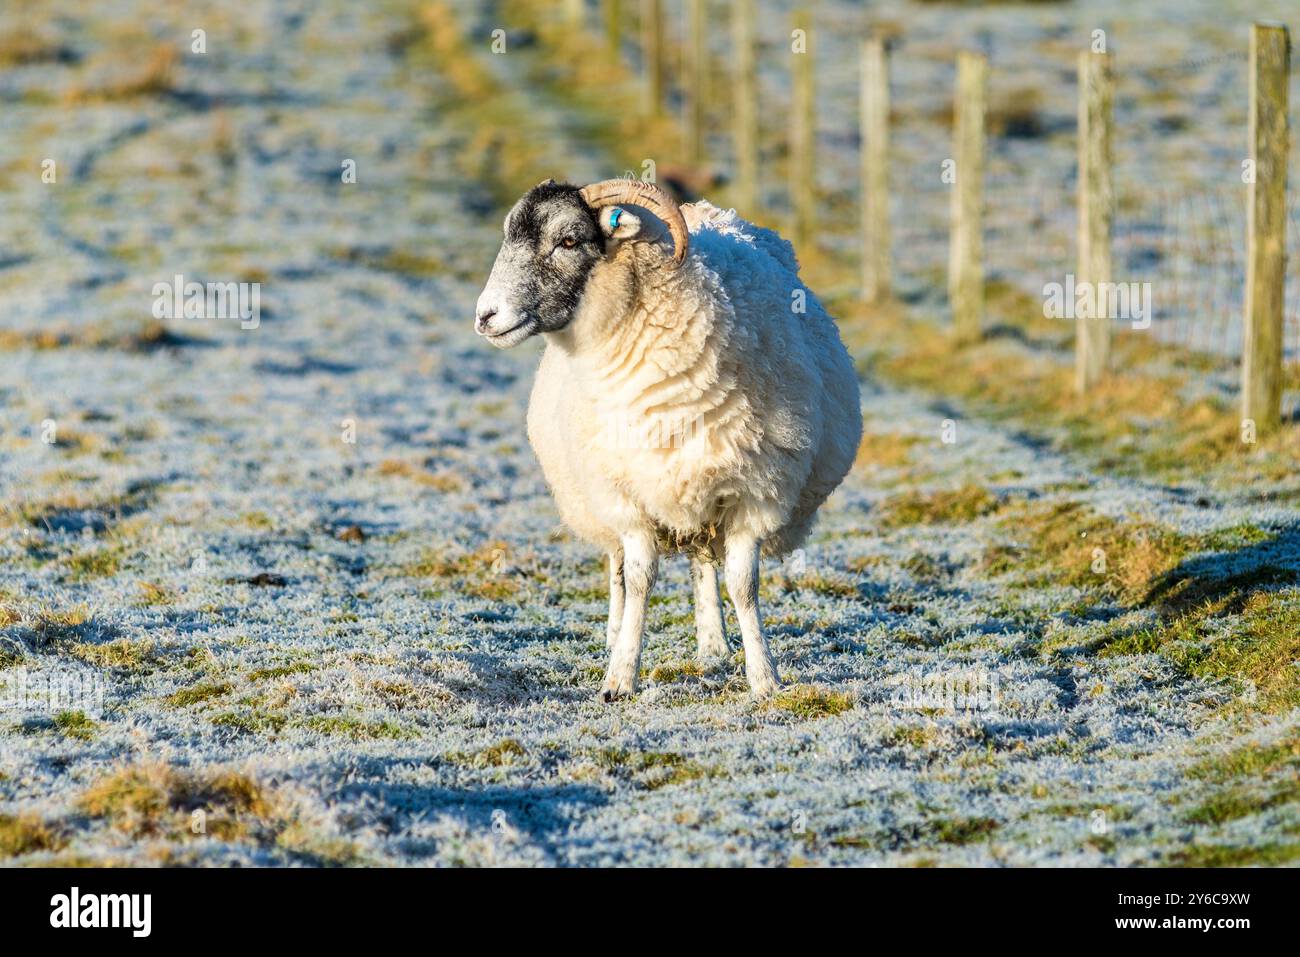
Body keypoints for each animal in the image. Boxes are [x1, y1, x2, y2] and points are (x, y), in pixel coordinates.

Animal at [474, 178, 862, 700]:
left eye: (569, 240)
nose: (485, 316)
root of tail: (701, 210)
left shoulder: (755, 493)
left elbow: (743, 585)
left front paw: (764, 677)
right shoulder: (625, 497)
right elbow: (638, 582)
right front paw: (620, 677)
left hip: (698, 492)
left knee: (702, 565)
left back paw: (714, 644)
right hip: (600, 496)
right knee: (617, 569)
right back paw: (616, 636)